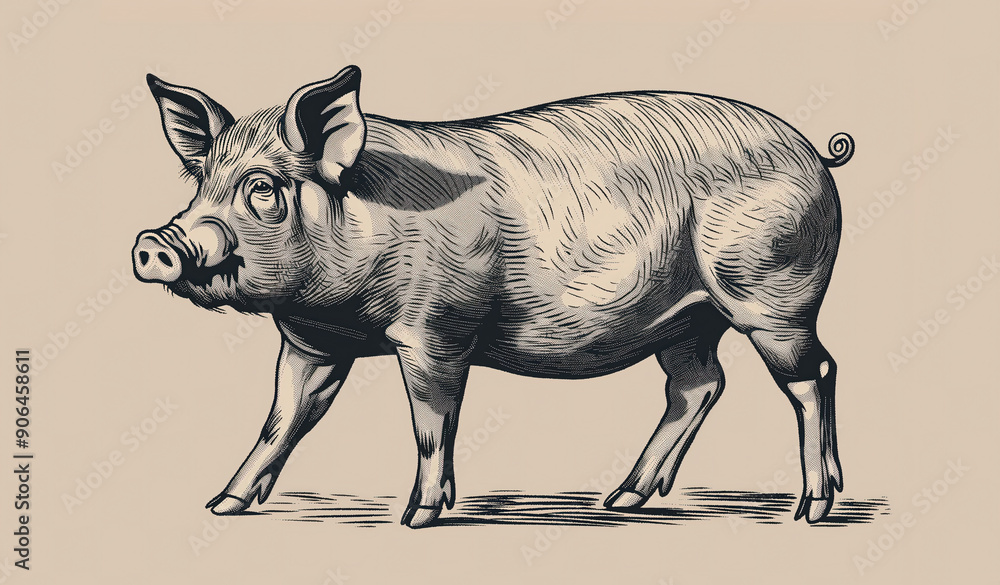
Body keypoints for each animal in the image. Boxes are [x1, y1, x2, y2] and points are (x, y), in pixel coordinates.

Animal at [133, 65, 854, 528]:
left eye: (262, 188)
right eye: (201, 183)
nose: (154, 241)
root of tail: (816, 153)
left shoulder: (435, 332)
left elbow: (431, 421)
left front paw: (416, 517)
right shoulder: (313, 342)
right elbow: (281, 420)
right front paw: (222, 505)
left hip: (773, 297)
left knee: (814, 374)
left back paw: (811, 510)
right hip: (686, 320)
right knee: (700, 385)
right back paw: (620, 500)